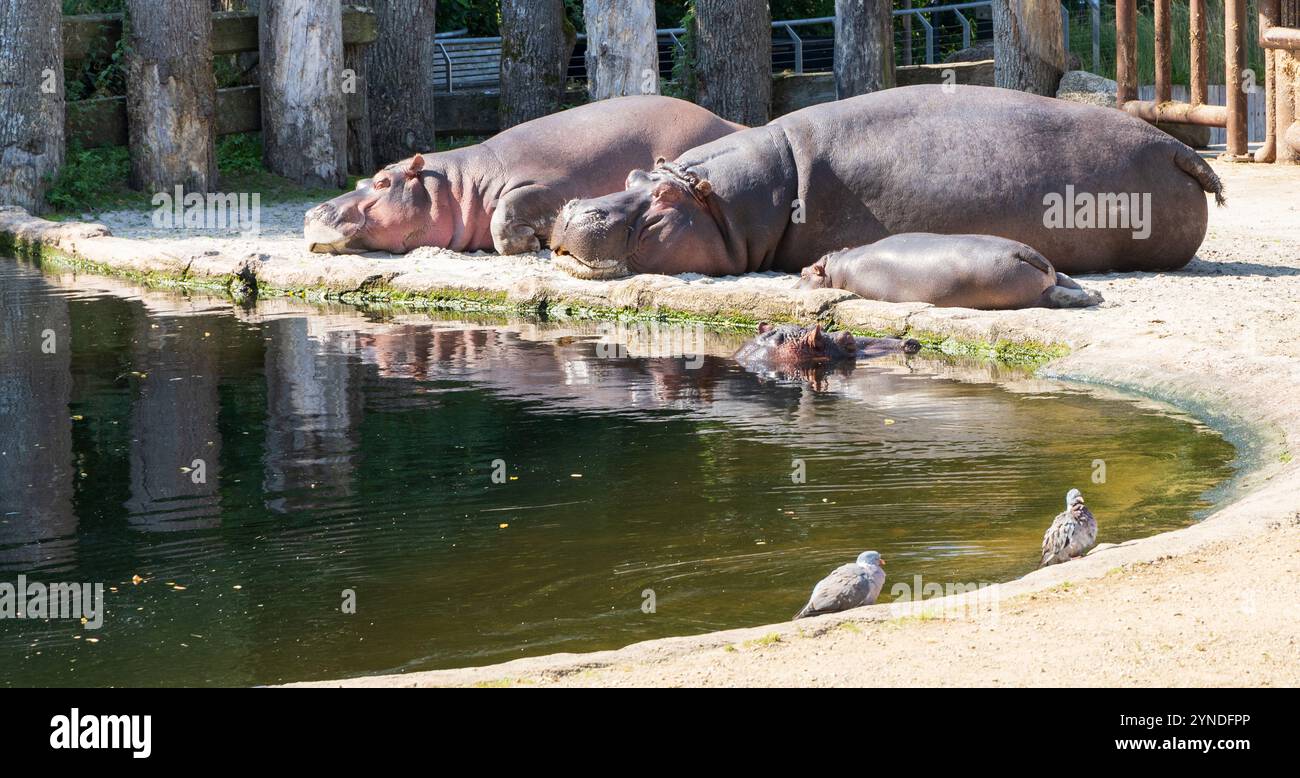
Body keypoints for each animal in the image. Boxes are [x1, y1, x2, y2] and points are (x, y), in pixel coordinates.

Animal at [303, 95, 743, 255]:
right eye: (360, 181)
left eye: (382, 182)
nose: (311, 213)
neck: (456, 183)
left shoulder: (546, 185)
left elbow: (505, 211)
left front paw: (528, 244)